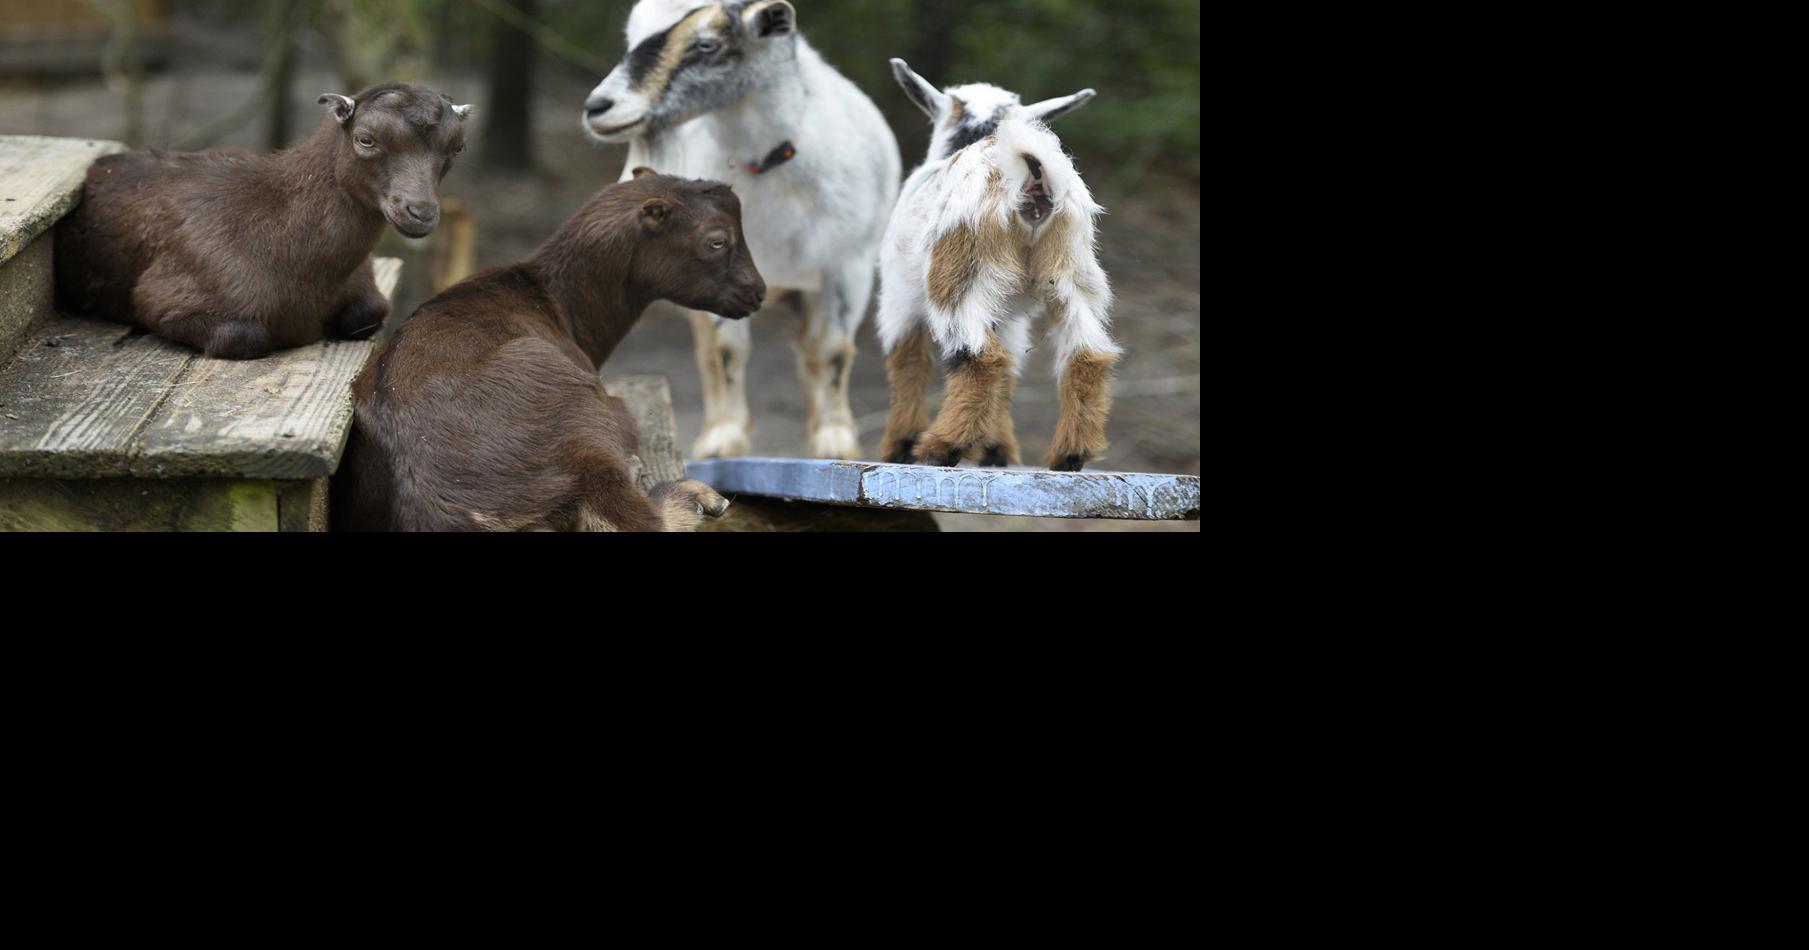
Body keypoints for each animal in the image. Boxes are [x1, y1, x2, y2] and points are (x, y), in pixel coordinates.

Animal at [54, 83, 471, 360]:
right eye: (366, 139)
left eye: (458, 147)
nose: (420, 212)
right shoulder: (164, 296)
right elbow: (245, 336)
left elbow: (370, 313)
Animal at [330, 169, 764, 533]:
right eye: (717, 241)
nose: (757, 292)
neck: (553, 298)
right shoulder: (610, 404)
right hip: (565, 397)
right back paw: (696, 497)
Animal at [582, 0, 901, 460]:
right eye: (633, 35)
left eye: (705, 44)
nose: (599, 106)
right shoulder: (716, 276)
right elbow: (727, 350)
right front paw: (724, 441)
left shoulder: (848, 267)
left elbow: (832, 351)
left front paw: (835, 441)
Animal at [876, 60, 1120, 472]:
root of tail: (1034, 180)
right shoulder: (1010, 317)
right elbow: (1011, 370)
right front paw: (997, 450)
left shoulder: (899, 298)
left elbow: (907, 362)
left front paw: (901, 446)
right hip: (1073, 276)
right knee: (1085, 356)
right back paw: (1069, 454)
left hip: (956, 279)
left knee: (979, 358)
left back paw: (940, 447)